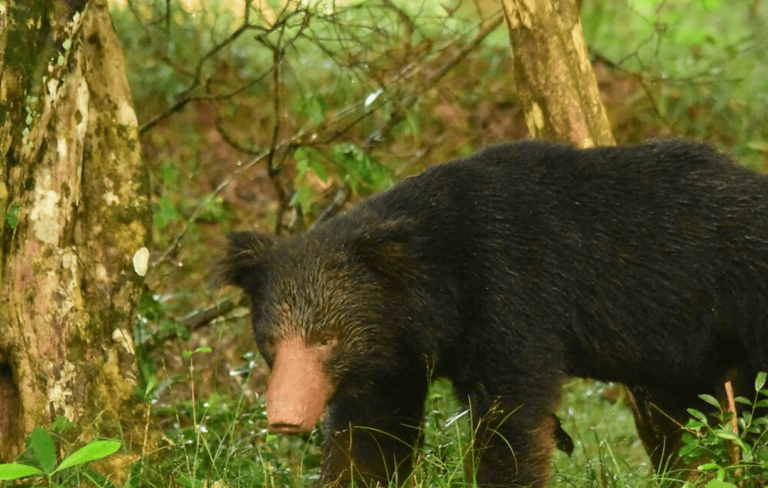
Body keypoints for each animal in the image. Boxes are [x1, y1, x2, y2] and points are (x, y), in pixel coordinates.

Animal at [219, 139, 768, 487]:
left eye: (327, 338)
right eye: (271, 343)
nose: (284, 418)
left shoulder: (514, 296)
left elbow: (512, 423)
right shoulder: (388, 358)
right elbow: (369, 438)